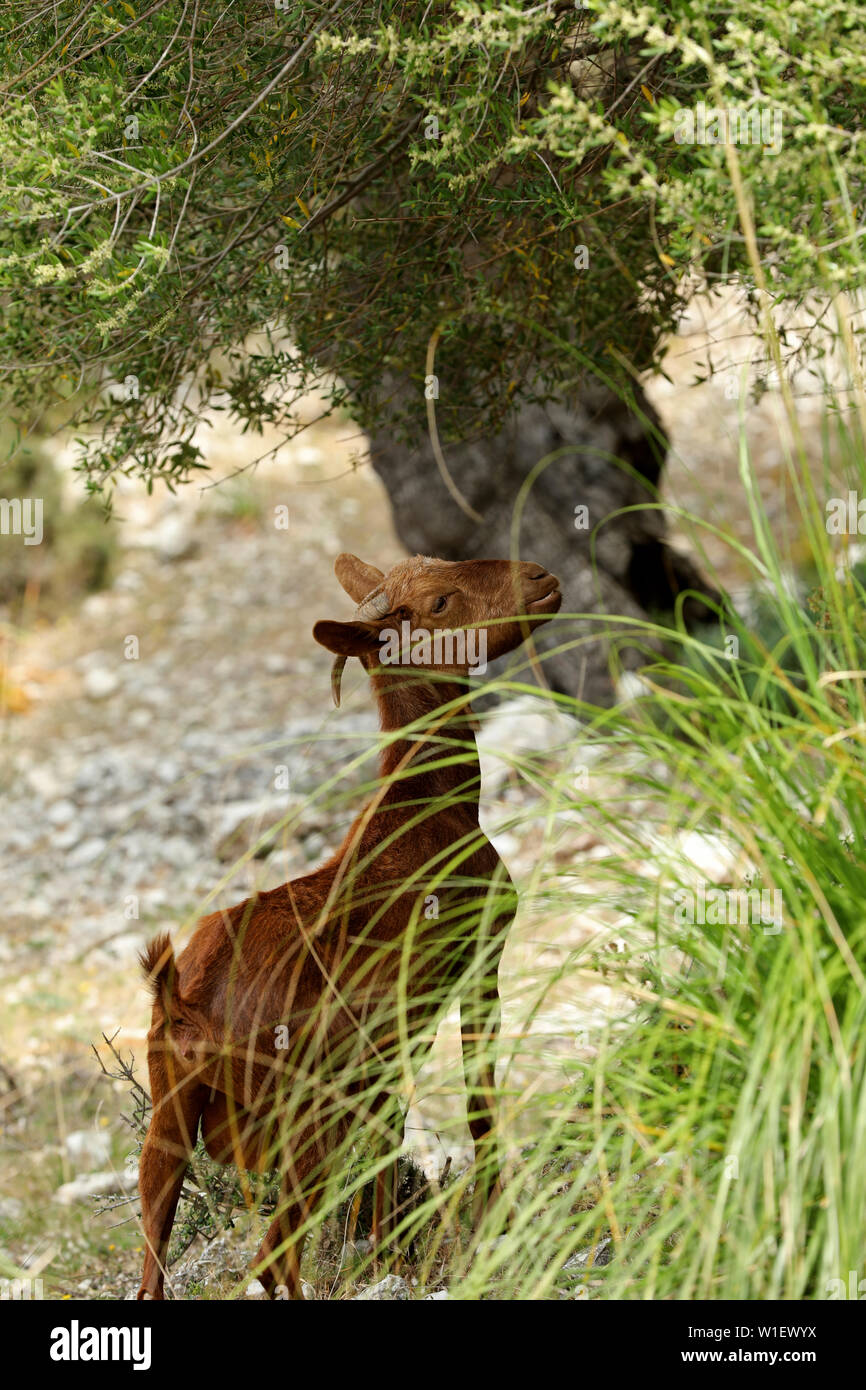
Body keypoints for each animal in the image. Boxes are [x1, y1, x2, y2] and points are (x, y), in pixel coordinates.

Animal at [136, 552, 561, 1299]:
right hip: (308, 1117)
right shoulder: (482, 957)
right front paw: (497, 1229)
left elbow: (389, 1153)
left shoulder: (389, 1057)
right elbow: (481, 1104)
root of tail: (187, 1005)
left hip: (169, 1120)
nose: (541, 578)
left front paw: (391, 1256)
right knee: (273, 1255)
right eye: (441, 601)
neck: (428, 803)